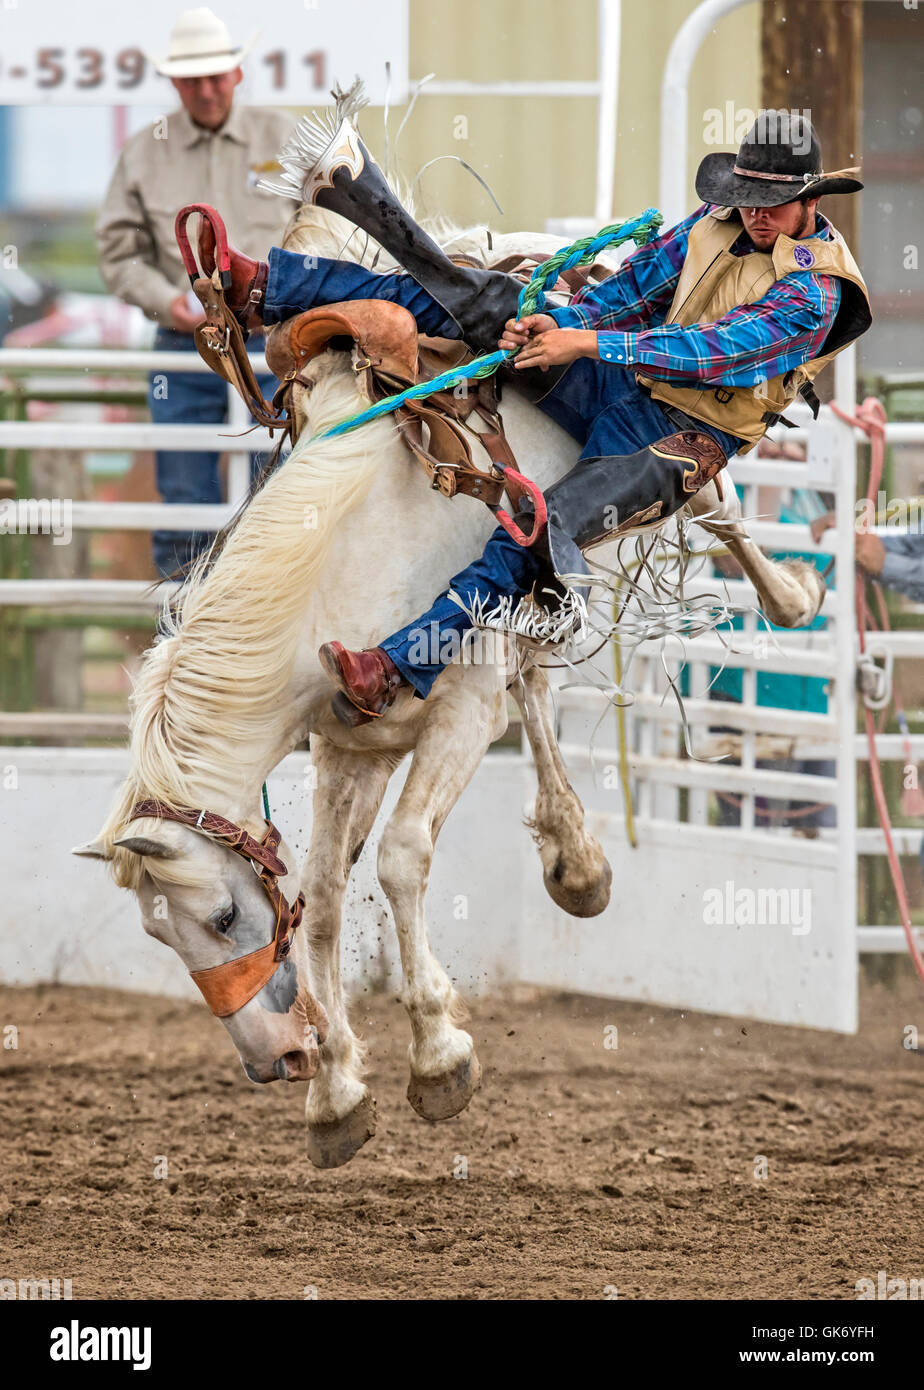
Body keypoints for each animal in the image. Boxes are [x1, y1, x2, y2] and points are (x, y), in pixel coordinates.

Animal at [73, 200, 825, 1168]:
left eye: (224, 920)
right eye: (154, 933)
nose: (272, 1061)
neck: (343, 572)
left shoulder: (460, 716)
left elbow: (399, 860)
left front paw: (437, 1055)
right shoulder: (350, 747)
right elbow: (323, 902)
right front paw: (336, 1093)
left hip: (666, 457)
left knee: (718, 506)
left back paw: (794, 594)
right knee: (537, 683)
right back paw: (576, 860)